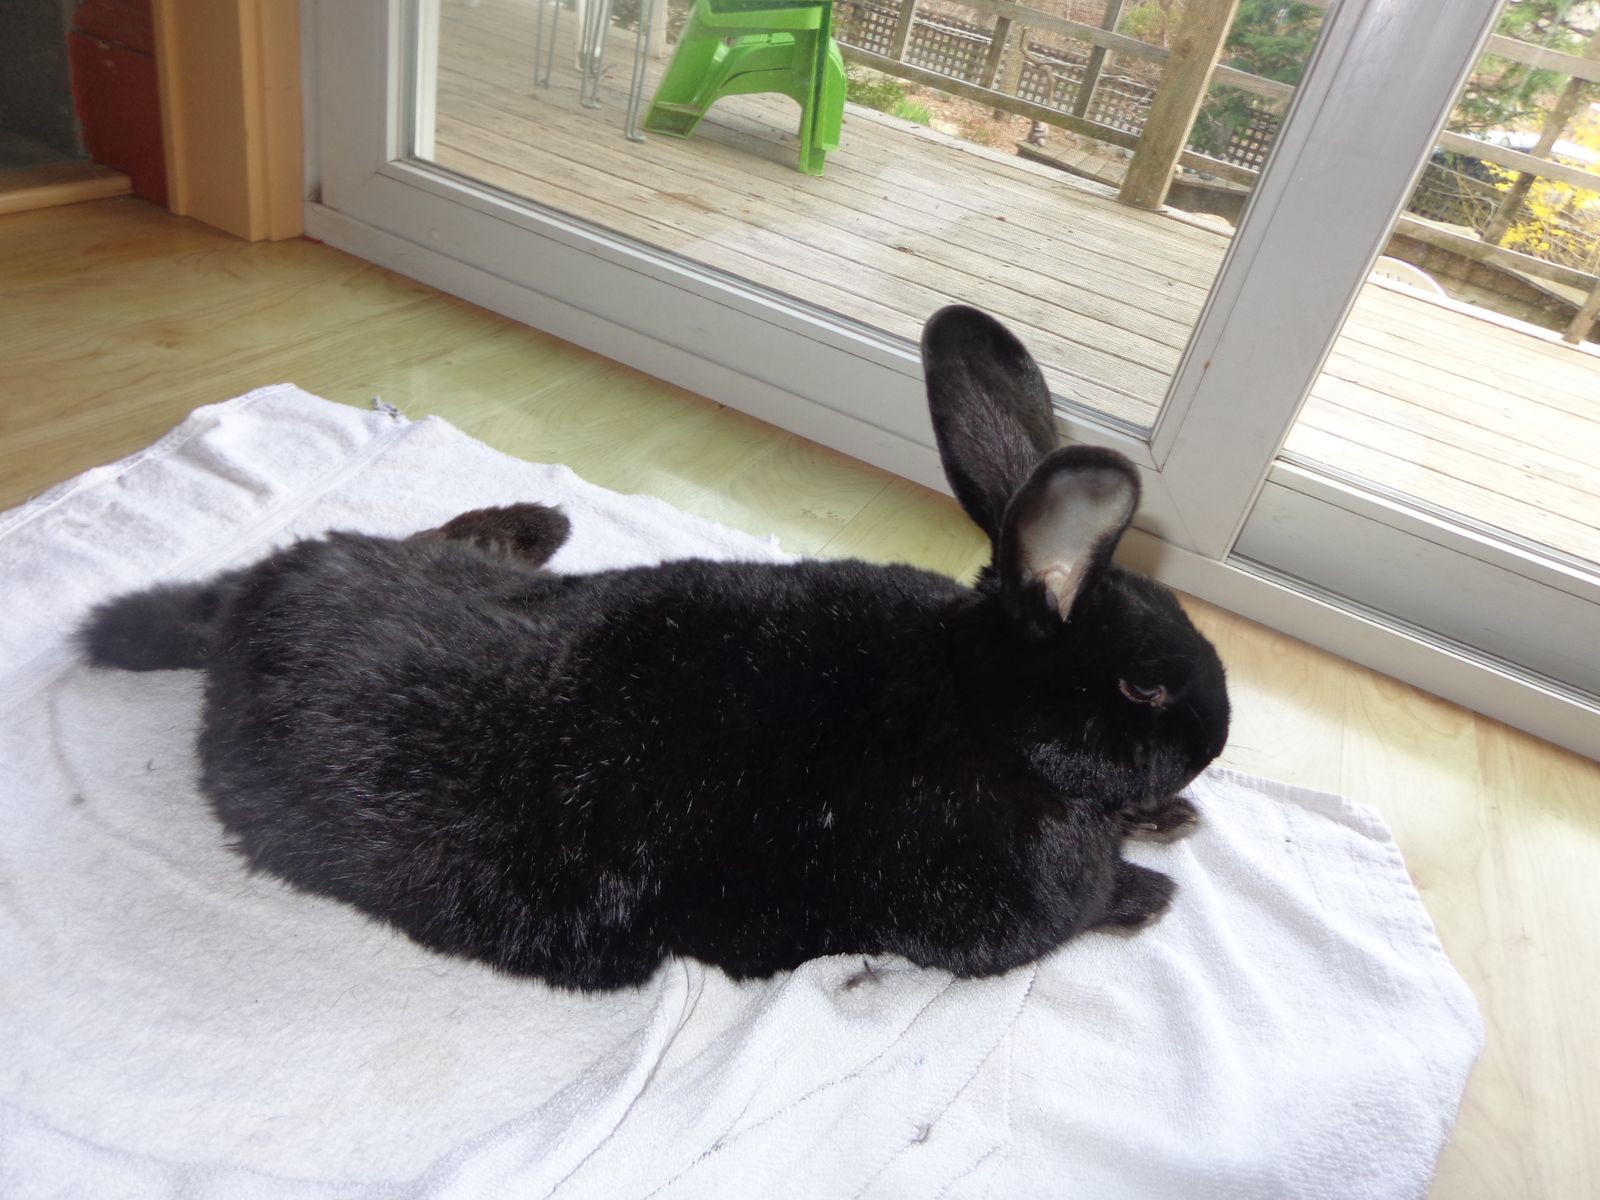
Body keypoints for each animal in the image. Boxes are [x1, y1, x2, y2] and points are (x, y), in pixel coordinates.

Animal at [79, 305, 1230, 992]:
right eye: (1142, 686)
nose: (1216, 743)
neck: (976, 709)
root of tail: (248, 607)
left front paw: (1171, 818)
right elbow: (1088, 905)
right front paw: (1151, 887)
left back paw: (540, 522)